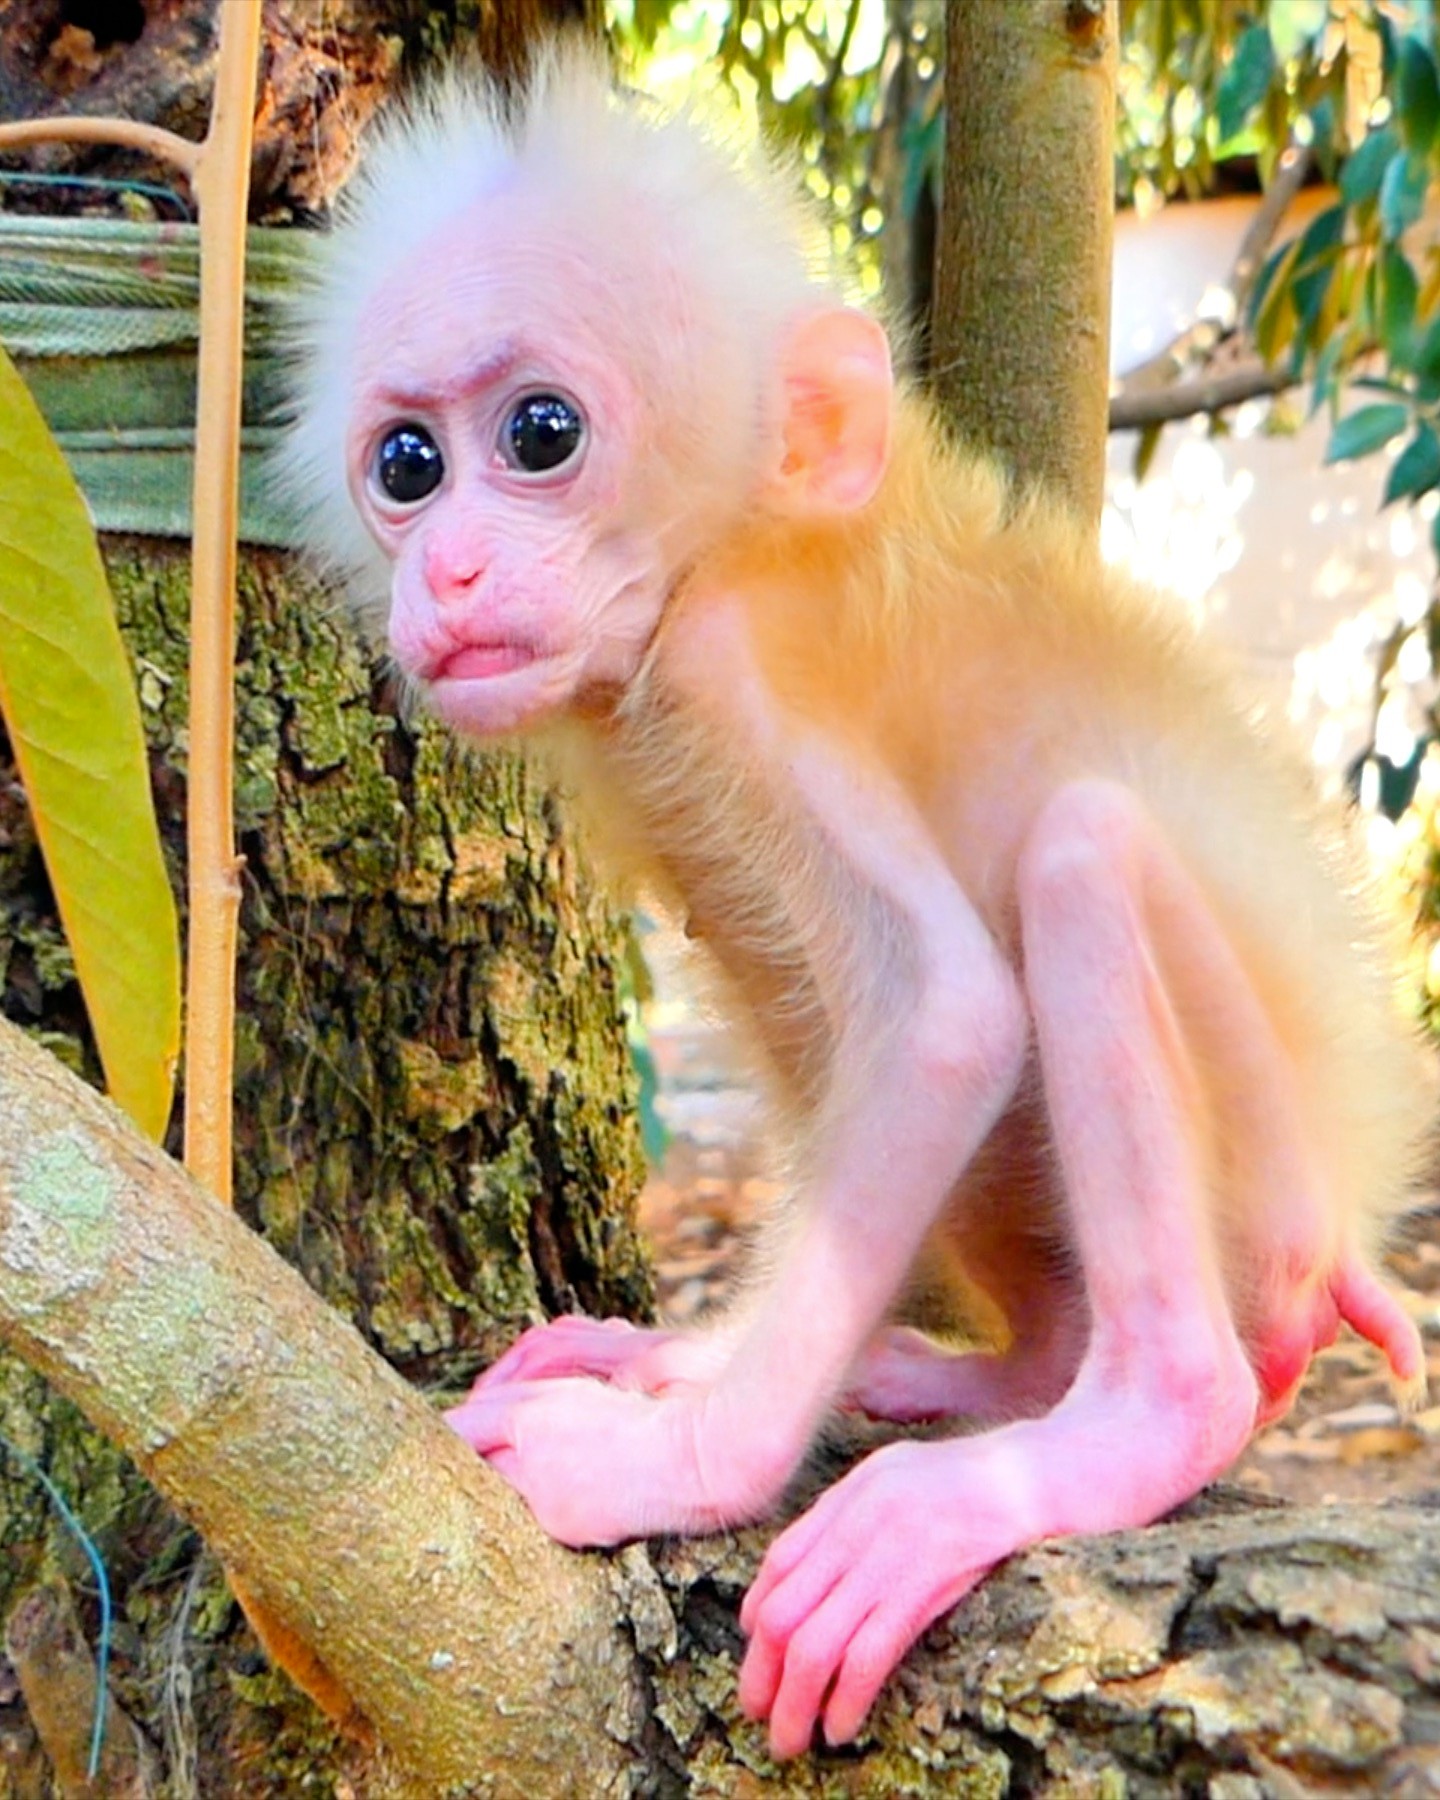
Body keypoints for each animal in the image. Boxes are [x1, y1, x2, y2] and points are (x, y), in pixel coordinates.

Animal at [279, 44, 1431, 1760]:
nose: (455, 577)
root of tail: (1355, 1196)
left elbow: (947, 1018)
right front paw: (678, 1362)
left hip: (1271, 1187)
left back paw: (1111, 1430)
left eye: (542, 434)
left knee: (1081, 857)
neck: (727, 554)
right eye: (407, 468)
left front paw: (675, 1461)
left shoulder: (728, 670)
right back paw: (992, 1378)